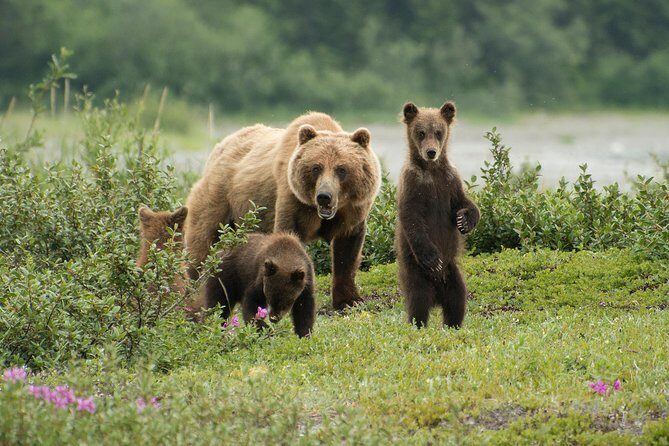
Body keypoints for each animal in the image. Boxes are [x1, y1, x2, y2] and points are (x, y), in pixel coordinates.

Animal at [184, 112, 381, 310]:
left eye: (341, 169)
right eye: (316, 167)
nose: (324, 196)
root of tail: (221, 145)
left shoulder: (352, 210)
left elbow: (347, 250)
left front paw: (349, 300)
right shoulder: (293, 199)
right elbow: (289, 238)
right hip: (220, 198)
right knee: (202, 242)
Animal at [394, 101, 480, 328]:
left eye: (439, 132)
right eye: (421, 132)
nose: (431, 152)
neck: (431, 170)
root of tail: (437, 295)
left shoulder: (449, 181)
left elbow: (464, 203)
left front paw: (464, 220)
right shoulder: (413, 185)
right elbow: (412, 219)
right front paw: (433, 259)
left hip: (453, 272)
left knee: (458, 298)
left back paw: (453, 324)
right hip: (416, 271)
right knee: (419, 299)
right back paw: (419, 323)